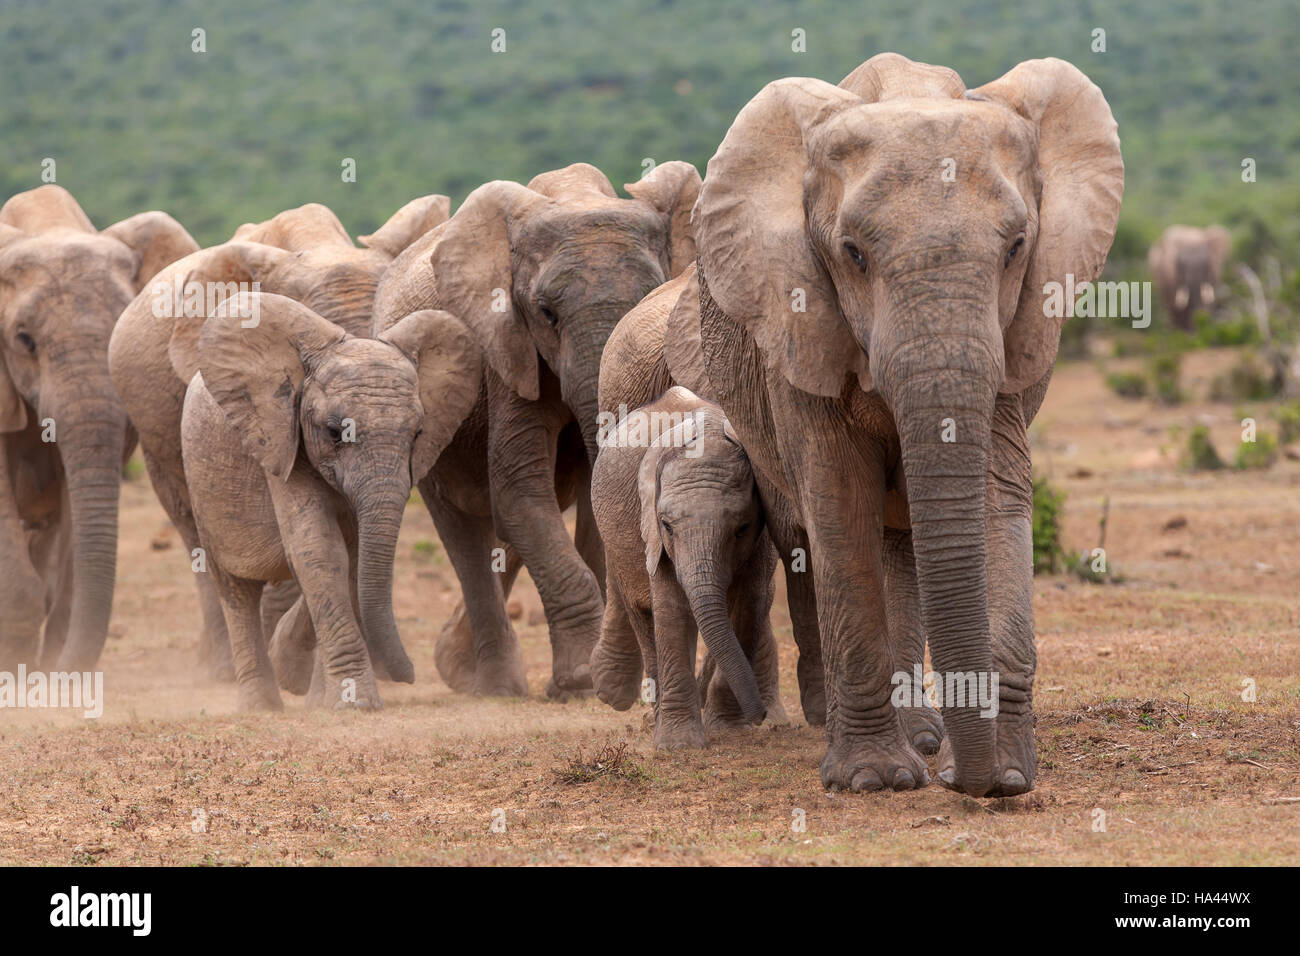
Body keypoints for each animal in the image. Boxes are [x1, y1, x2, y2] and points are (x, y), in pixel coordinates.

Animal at [175, 292, 480, 711]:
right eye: (335, 432)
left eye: (418, 433)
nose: (411, 675)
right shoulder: (281, 442)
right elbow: (319, 548)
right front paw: (353, 703)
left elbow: (350, 558)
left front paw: (323, 696)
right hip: (202, 484)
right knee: (236, 588)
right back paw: (261, 706)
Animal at [371, 161, 700, 699]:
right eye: (546, 314)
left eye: (647, 299)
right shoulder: (504, 347)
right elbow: (519, 486)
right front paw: (582, 680)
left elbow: (583, 504)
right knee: (465, 533)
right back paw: (492, 686)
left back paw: (459, 668)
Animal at [589, 386, 784, 748]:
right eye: (667, 525)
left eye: (742, 528)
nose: (761, 715)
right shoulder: (653, 531)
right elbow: (671, 609)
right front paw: (679, 745)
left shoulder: (762, 539)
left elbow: (749, 605)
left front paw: (727, 728)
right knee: (643, 618)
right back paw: (657, 718)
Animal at [629, 54, 1124, 796]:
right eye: (853, 253)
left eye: (1017, 247)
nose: (964, 780)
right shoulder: (799, 322)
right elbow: (839, 506)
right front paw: (875, 780)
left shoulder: (1016, 339)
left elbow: (996, 501)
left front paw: (1008, 775)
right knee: (811, 543)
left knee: (904, 544)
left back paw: (921, 738)